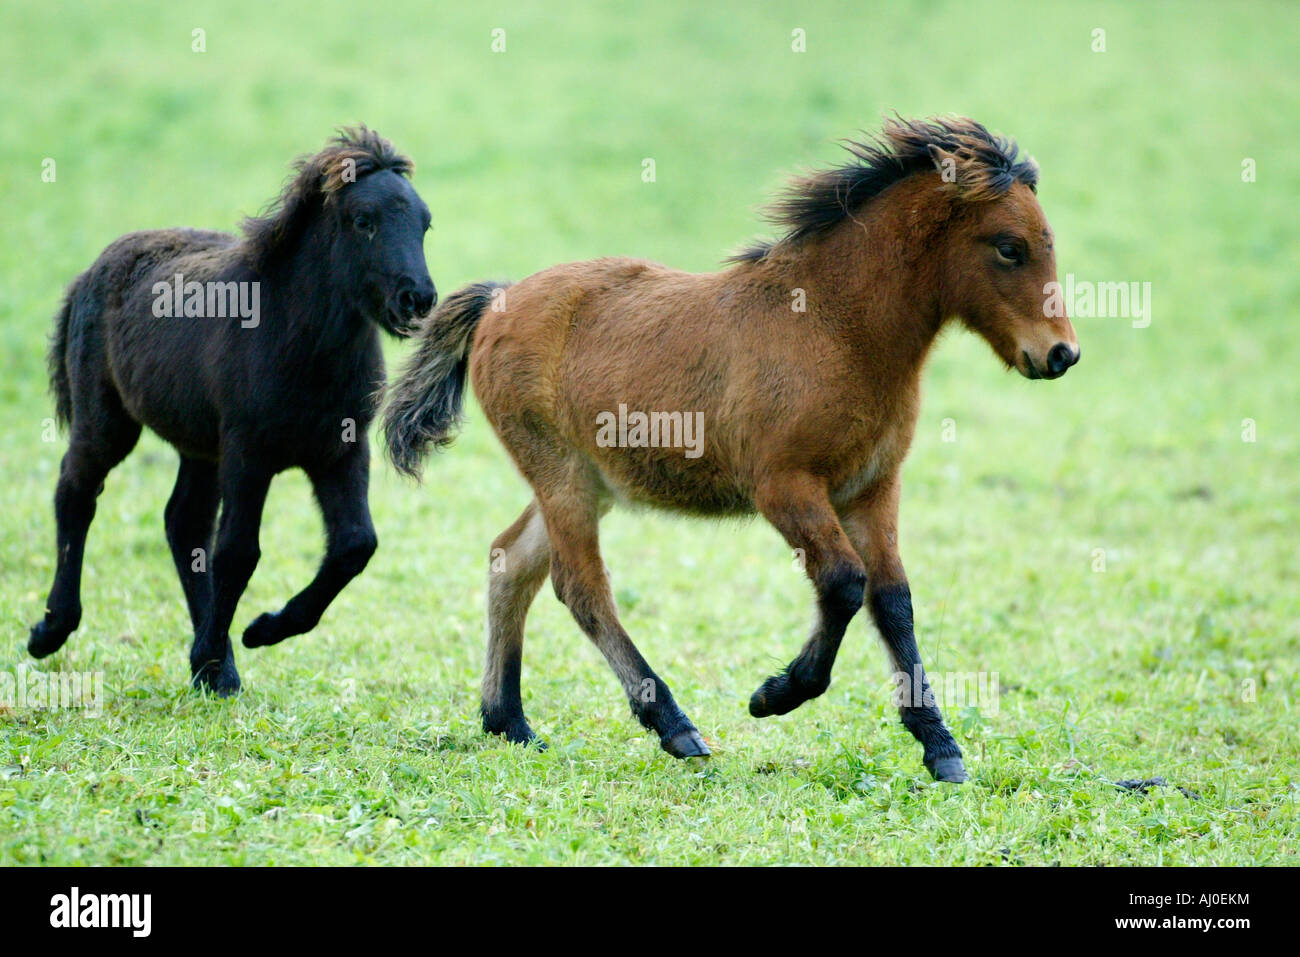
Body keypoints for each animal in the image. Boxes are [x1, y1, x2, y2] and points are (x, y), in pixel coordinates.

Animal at [30, 127, 437, 696]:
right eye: (364, 220)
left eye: (425, 222)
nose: (417, 300)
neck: (298, 342)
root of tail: (91, 271)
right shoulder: (249, 452)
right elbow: (239, 552)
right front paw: (218, 651)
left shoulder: (340, 453)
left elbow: (355, 545)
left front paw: (259, 633)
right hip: (108, 423)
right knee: (76, 492)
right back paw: (52, 630)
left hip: (200, 447)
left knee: (183, 522)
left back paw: (215, 665)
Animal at [384, 116, 1078, 782]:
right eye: (1009, 247)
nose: (1061, 354)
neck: (832, 326)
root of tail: (497, 300)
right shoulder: (784, 486)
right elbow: (844, 582)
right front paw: (776, 694)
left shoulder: (873, 489)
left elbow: (894, 601)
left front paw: (939, 745)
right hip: (563, 477)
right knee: (580, 587)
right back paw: (674, 726)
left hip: (586, 481)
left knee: (511, 562)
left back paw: (509, 721)